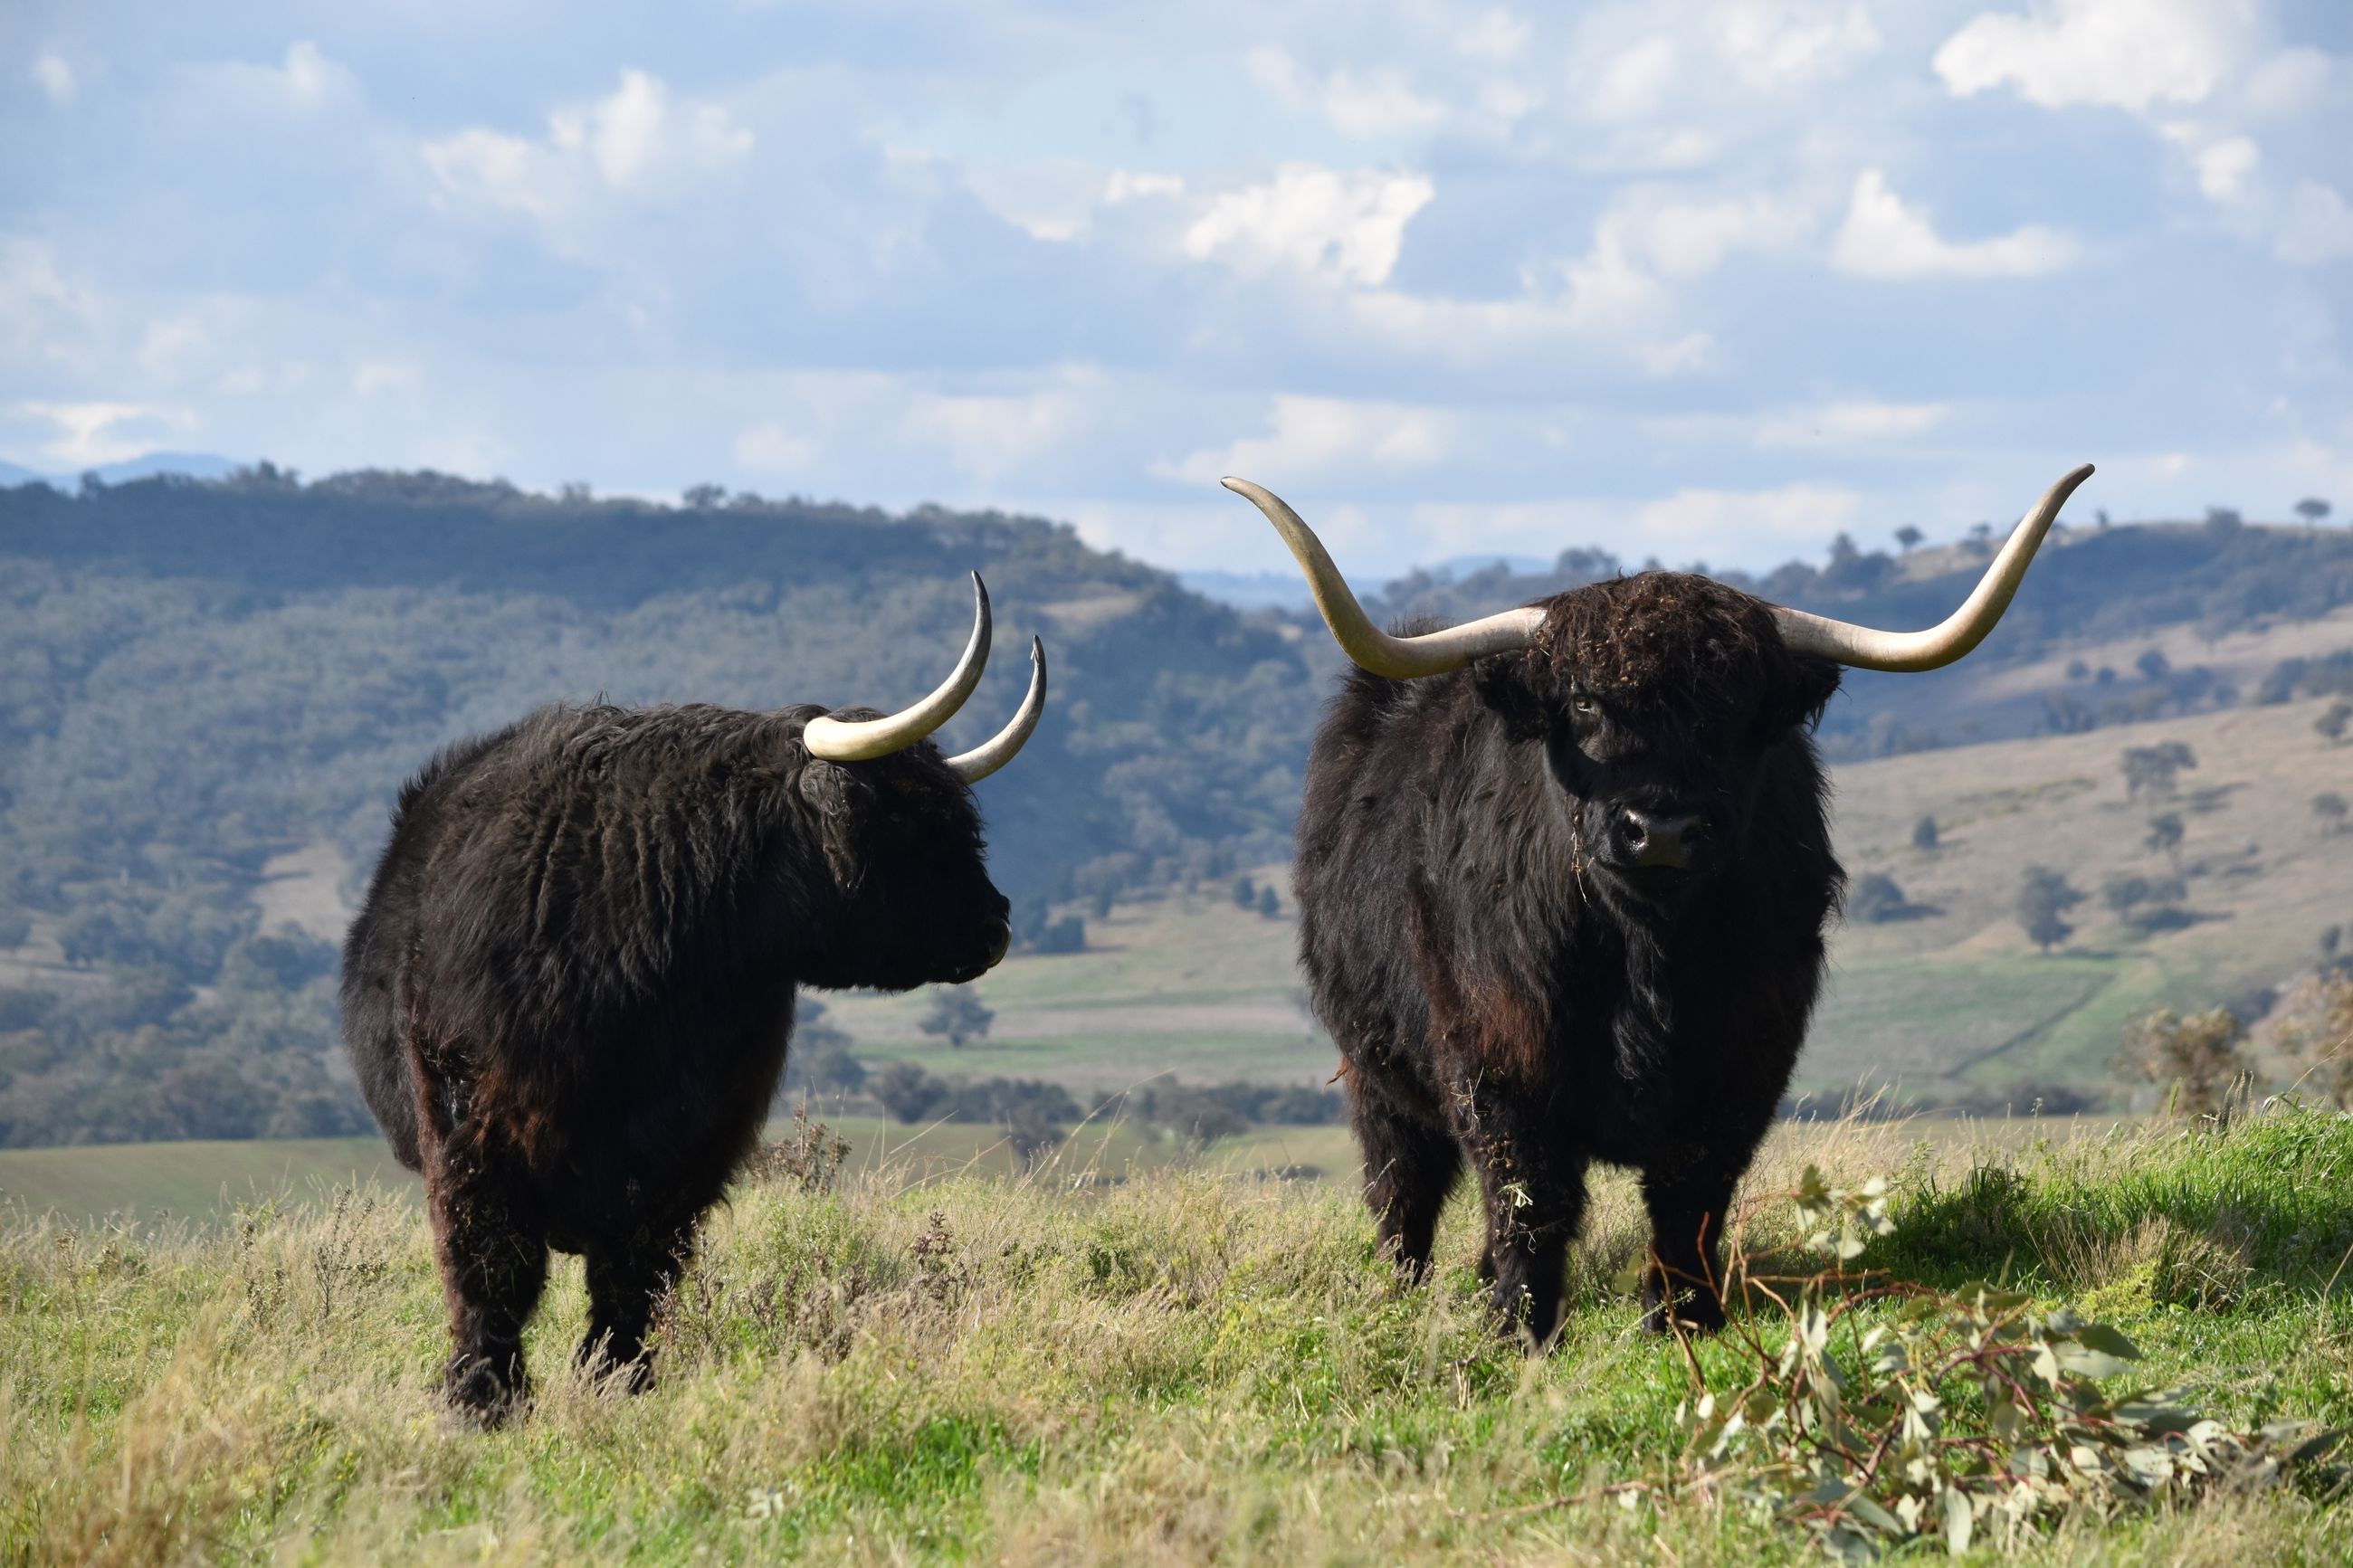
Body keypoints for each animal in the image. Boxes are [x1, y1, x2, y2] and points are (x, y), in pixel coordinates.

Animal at [341, 577, 1046, 1420]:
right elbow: (489, 1267)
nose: (995, 923)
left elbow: (634, 1281)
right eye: (905, 819)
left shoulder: (688, 1149)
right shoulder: (471, 1122)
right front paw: (481, 1396)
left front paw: (618, 1382)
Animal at [1222, 466, 2093, 1342]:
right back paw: (1403, 1288)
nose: (1662, 829)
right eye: (1583, 704)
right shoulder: (1494, 1050)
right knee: (1402, 1184)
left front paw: (1683, 1316)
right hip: (1376, 1073)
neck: (1645, 956)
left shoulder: (1744, 1056)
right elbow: (1527, 1193)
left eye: (1735, 709)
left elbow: (1690, 1194)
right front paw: (1520, 1325)